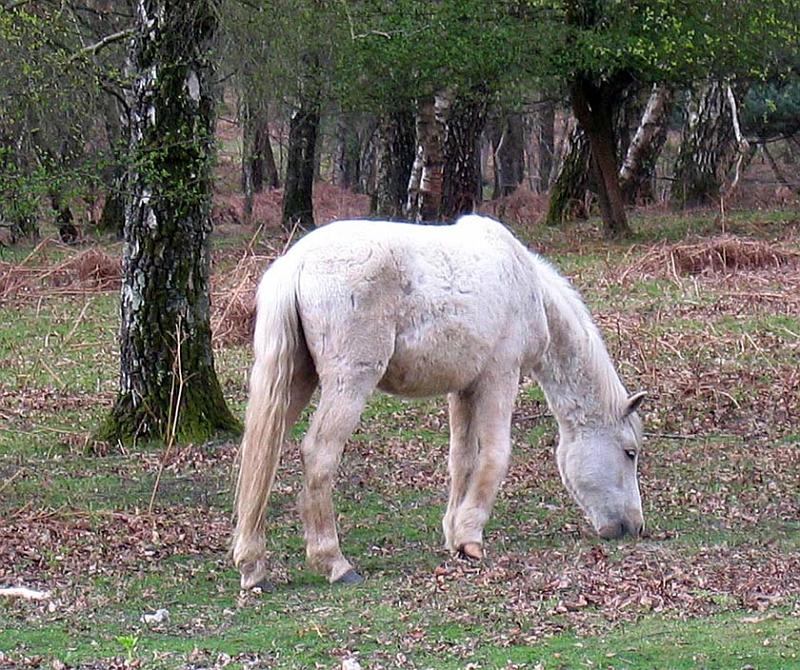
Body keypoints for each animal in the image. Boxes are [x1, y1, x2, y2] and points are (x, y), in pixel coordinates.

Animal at [232, 214, 646, 589]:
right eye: (630, 452)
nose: (634, 527)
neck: (527, 288)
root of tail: (296, 262)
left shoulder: (463, 389)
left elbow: (462, 460)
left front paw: (454, 535)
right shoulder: (500, 377)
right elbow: (495, 455)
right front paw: (471, 539)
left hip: (296, 380)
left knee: (262, 456)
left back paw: (253, 566)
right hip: (348, 384)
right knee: (318, 455)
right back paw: (334, 562)